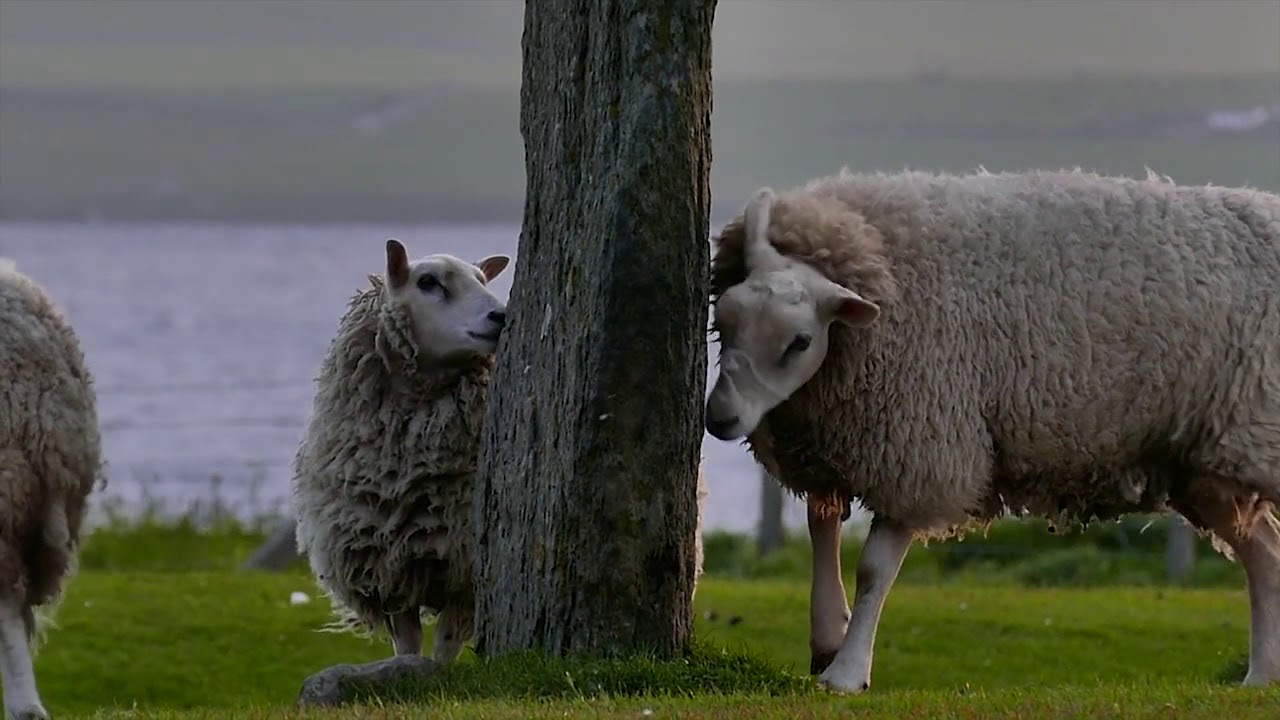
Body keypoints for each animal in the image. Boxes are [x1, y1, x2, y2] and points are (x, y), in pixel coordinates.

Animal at [703, 167, 1280, 694]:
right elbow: (821, 531)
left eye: (800, 342)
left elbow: (874, 570)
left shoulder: (924, 451)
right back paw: (1261, 677)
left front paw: (846, 673)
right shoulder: (834, 443)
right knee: (1265, 555)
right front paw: (827, 636)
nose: (720, 418)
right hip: (1206, 468)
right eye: (724, 319)